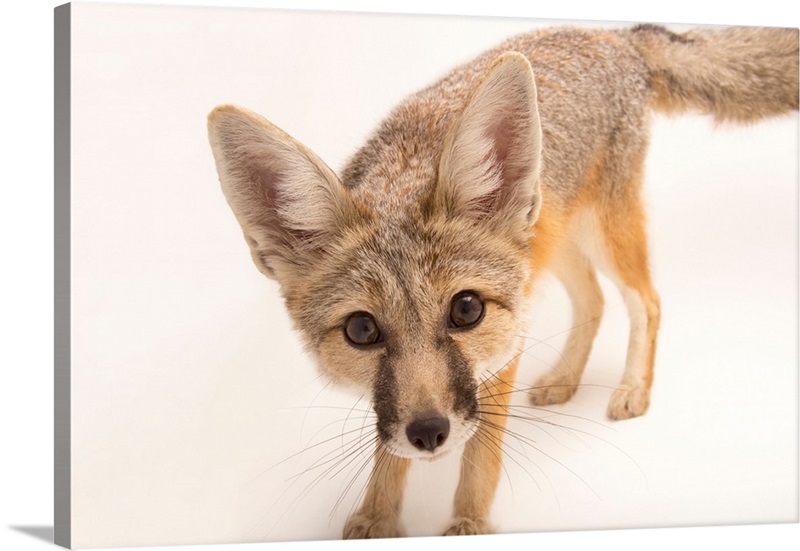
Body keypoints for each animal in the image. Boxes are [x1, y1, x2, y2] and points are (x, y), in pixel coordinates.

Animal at [207, 23, 799, 538]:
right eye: (361, 331)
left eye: (466, 310)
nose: (429, 433)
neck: (403, 173)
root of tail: (612, 34)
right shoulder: (411, 392)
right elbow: (387, 449)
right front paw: (377, 518)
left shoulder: (503, 350)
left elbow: (481, 453)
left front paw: (467, 524)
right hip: (552, 242)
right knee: (594, 299)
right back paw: (565, 378)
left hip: (601, 231)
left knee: (646, 301)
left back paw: (633, 388)